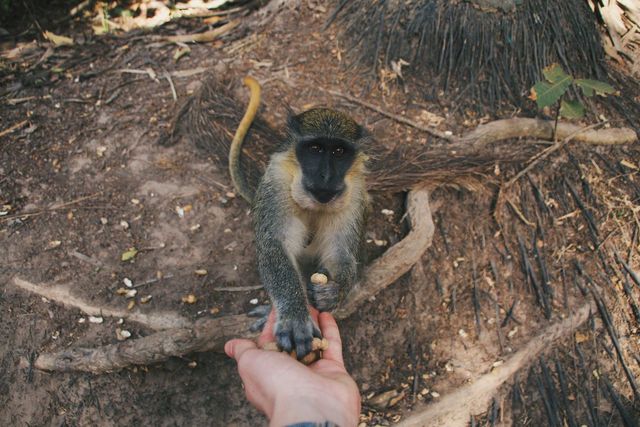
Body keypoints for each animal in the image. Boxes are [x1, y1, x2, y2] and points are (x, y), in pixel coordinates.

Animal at [229, 76, 369, 359]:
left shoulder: (356, 191)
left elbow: (340, 253)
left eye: (339, 151)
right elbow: (274, 247)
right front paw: (294, 316)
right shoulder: (276, 180)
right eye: (315, 149)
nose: (326, 176)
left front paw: (334, 292)